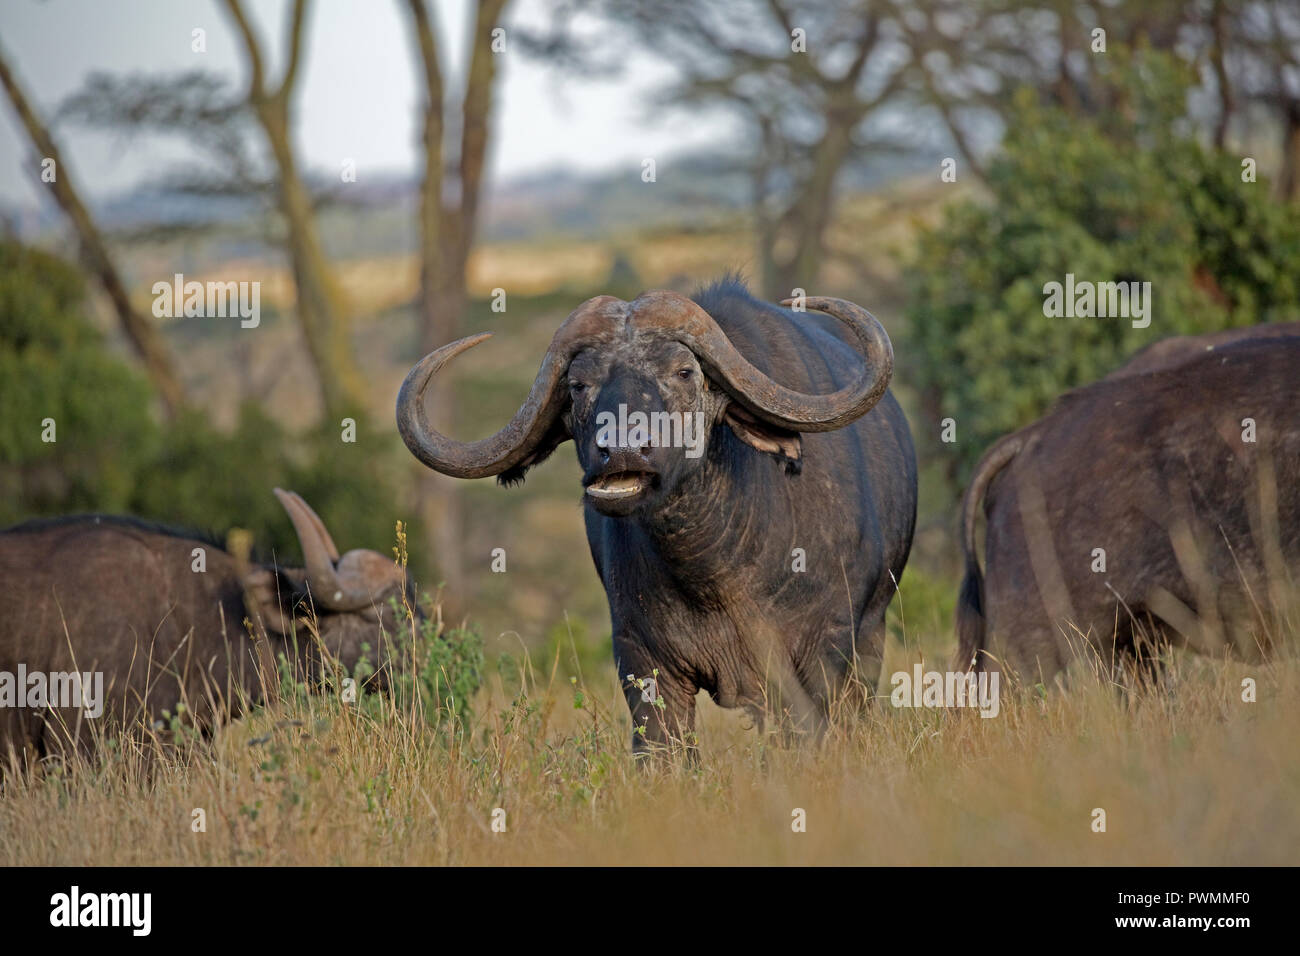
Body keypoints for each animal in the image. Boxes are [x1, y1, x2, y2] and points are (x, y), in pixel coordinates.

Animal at [398, 278, 916, 754]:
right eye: (577, 385)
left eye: (684, 372)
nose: (622, 448)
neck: (716, 568)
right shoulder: (643, 662)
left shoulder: (824, 656)